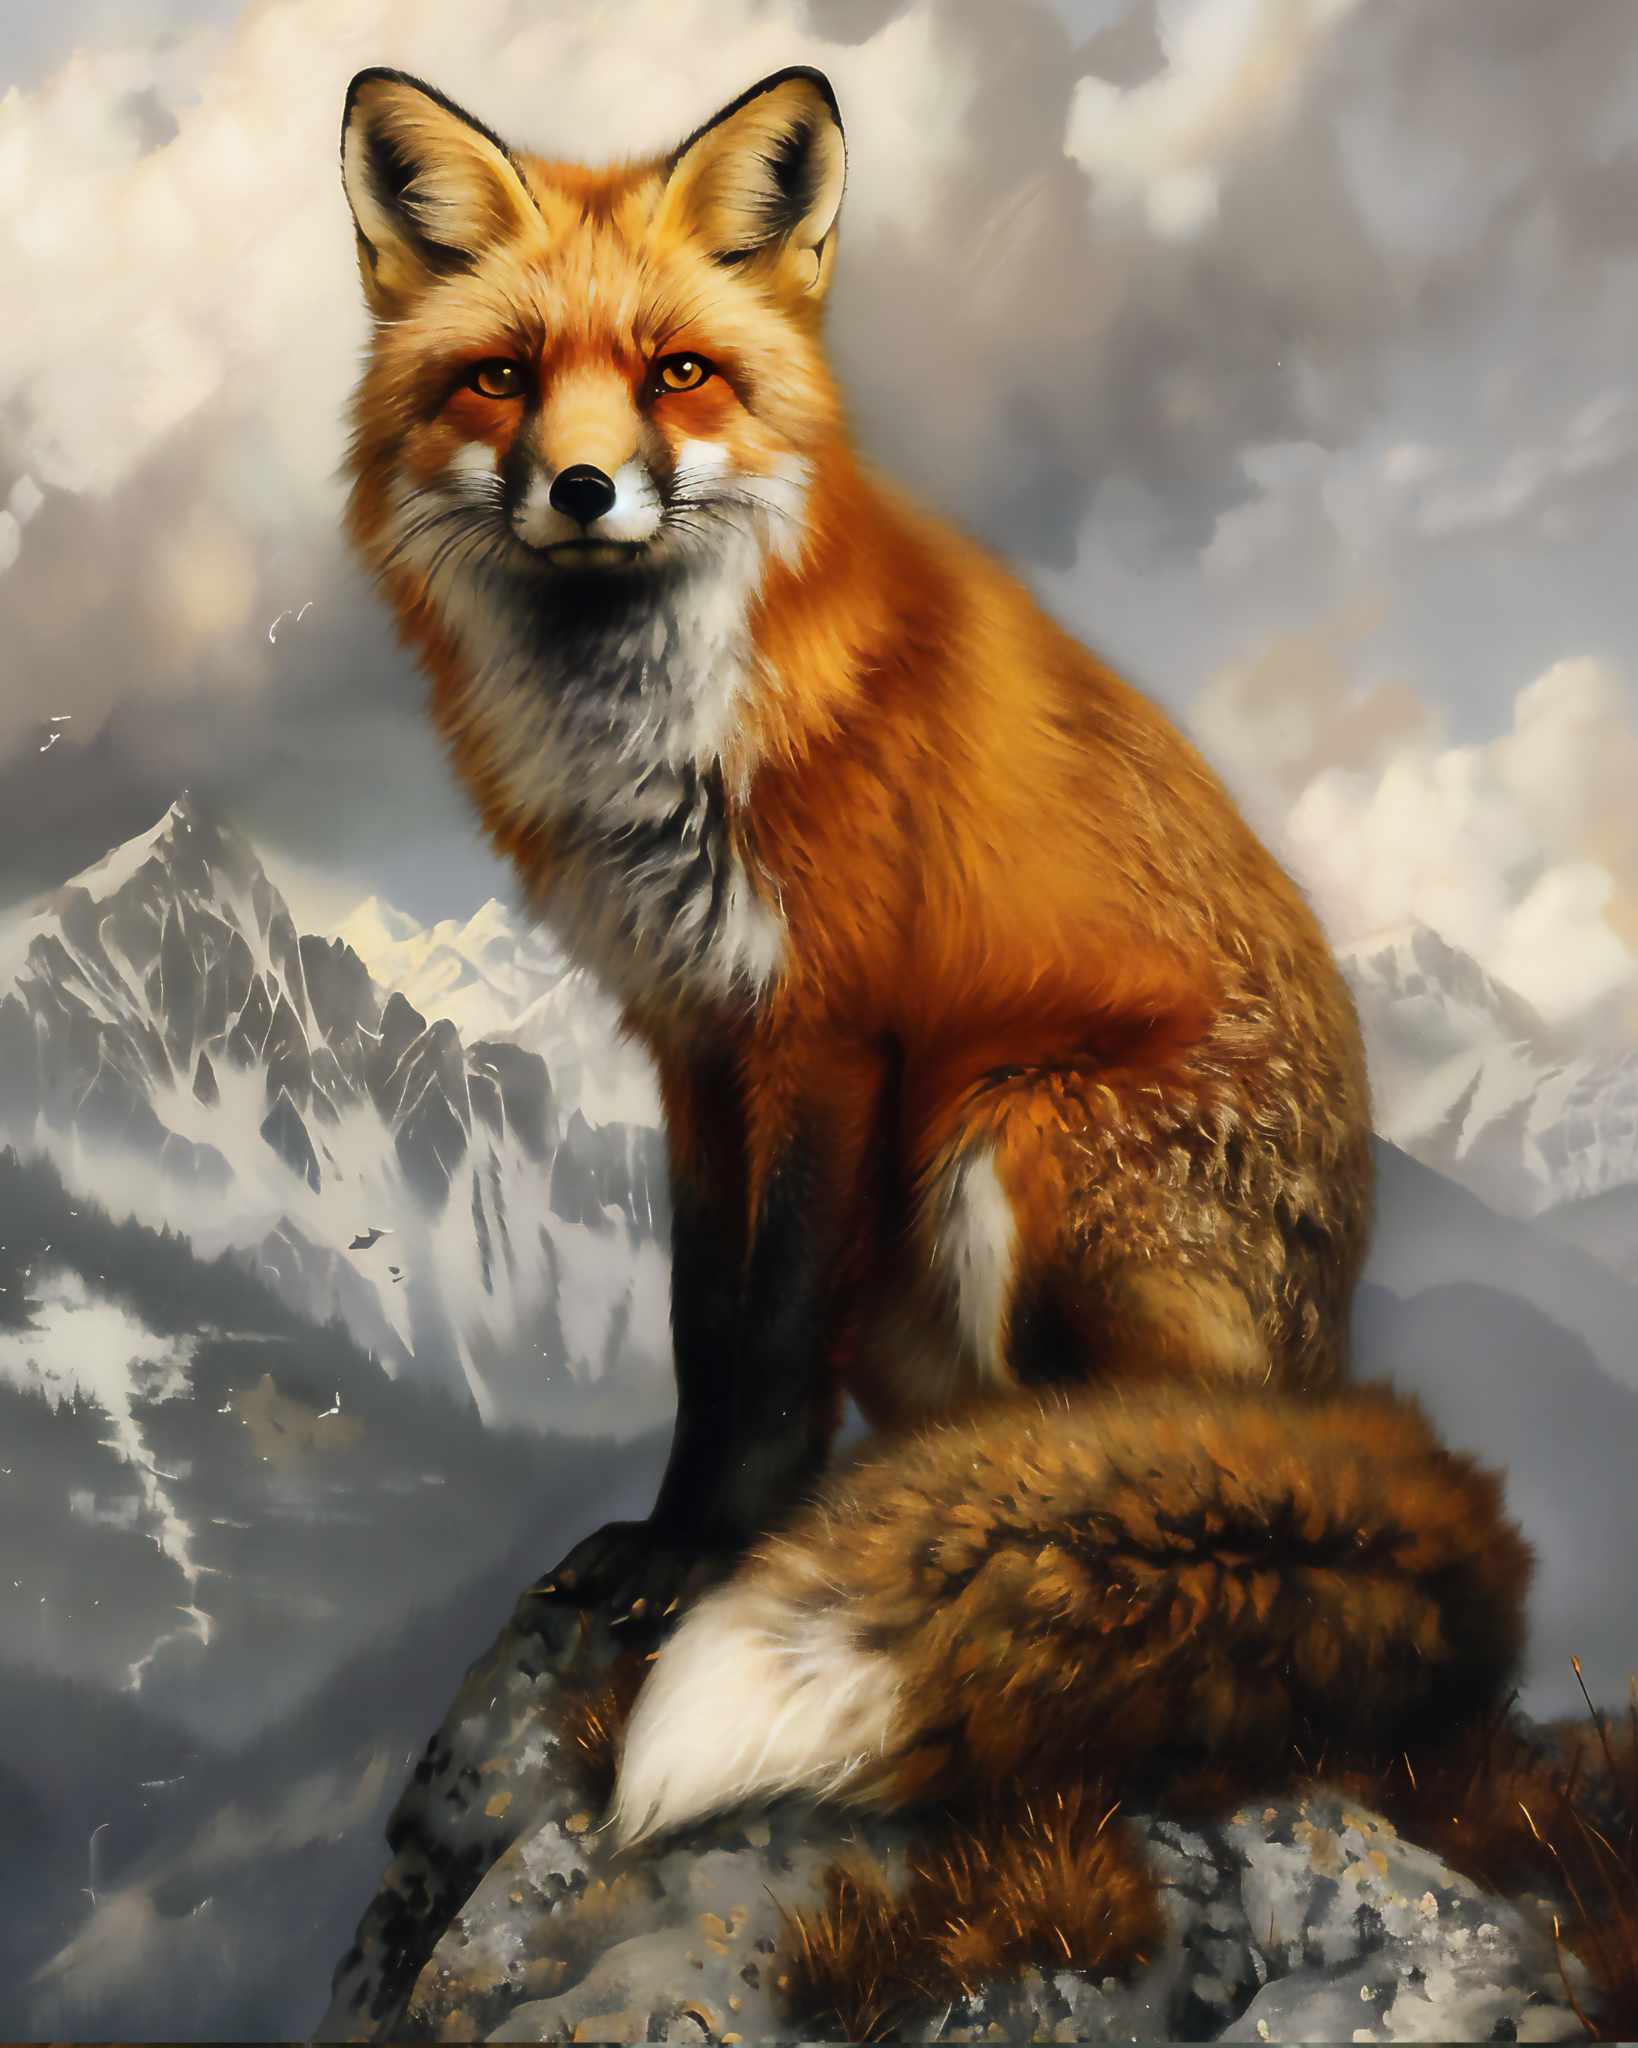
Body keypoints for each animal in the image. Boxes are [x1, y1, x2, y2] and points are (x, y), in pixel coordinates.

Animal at [339, 65, 1530, 1865]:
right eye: (502, 379)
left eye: (676, 372)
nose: (584, 489)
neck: (666, 737)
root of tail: (1334, 1379)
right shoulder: (689, 1033)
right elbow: (698, 1322)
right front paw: (665, 1536)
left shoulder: (830, 1028)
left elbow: (768, 1345)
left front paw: (719, 1556)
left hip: (1012, 1128)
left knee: (1104, 1443)